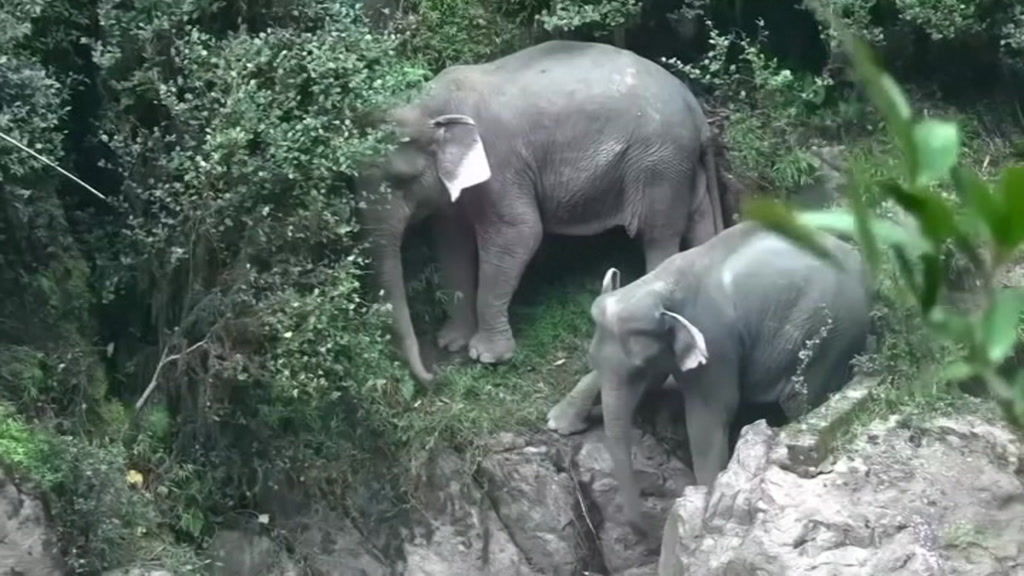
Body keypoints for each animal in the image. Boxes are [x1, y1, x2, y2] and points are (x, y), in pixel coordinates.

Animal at [357, 40, 739, 384]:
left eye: (401, 180)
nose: (433, 376)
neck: (431, 107)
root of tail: (697, 112)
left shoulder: (502, 166)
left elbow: (520, 233)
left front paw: (486, 356)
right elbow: (451, 243)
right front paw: (451, 342)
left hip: (659, 161)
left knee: (659, 233)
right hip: (680, 163)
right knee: (698, 220)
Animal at [545, 221, 871, 532]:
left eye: (637, 369)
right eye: (591, 358)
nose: (645, 528)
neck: (656, 285)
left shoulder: (716, 340)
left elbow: (710, 414)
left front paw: (703, 497)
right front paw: (559, 423)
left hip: (833, 334)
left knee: (800, 398)